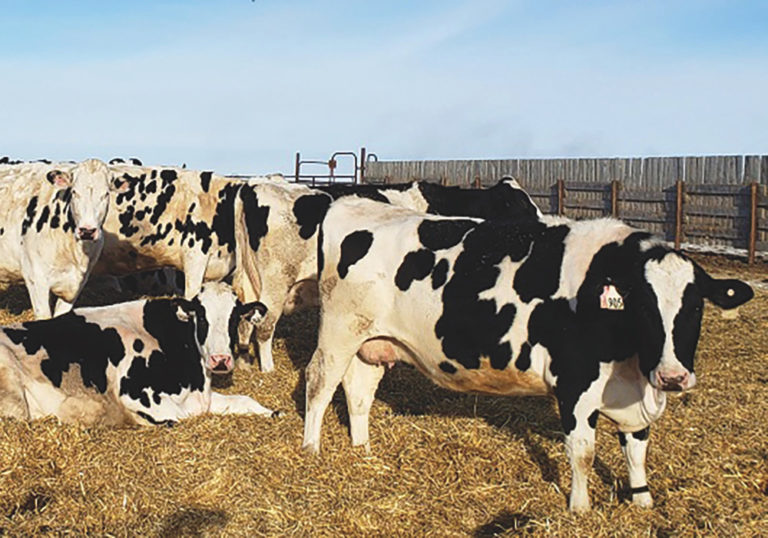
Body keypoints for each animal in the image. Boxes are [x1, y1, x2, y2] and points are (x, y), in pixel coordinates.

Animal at [0, 282, 278, 426]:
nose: (220, 360)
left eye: (235, 317)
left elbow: (244, 400)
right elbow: (178, 416)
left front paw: (272, 412)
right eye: (200, 316)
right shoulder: (137, 395)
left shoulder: (202, 396)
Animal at [232, 177, 542, 372]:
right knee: (265, 324)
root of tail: (255, 184)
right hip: (277, 280)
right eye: (522, 206)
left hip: (251, 282)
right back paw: (268, 368)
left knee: (247, 319)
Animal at [300, 197, 754, 512]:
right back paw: (311, 450)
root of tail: (353, 204)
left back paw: (363, 450)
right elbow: (583, 451)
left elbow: (637, 447)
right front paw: (580, 508)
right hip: (339, 331)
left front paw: (642, 501)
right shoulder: (575, 384)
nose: (674, 377)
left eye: (695, 307)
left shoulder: (636, 392)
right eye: (643, 306)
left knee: (359, 392)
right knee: (320, 384)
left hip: (373, 341)